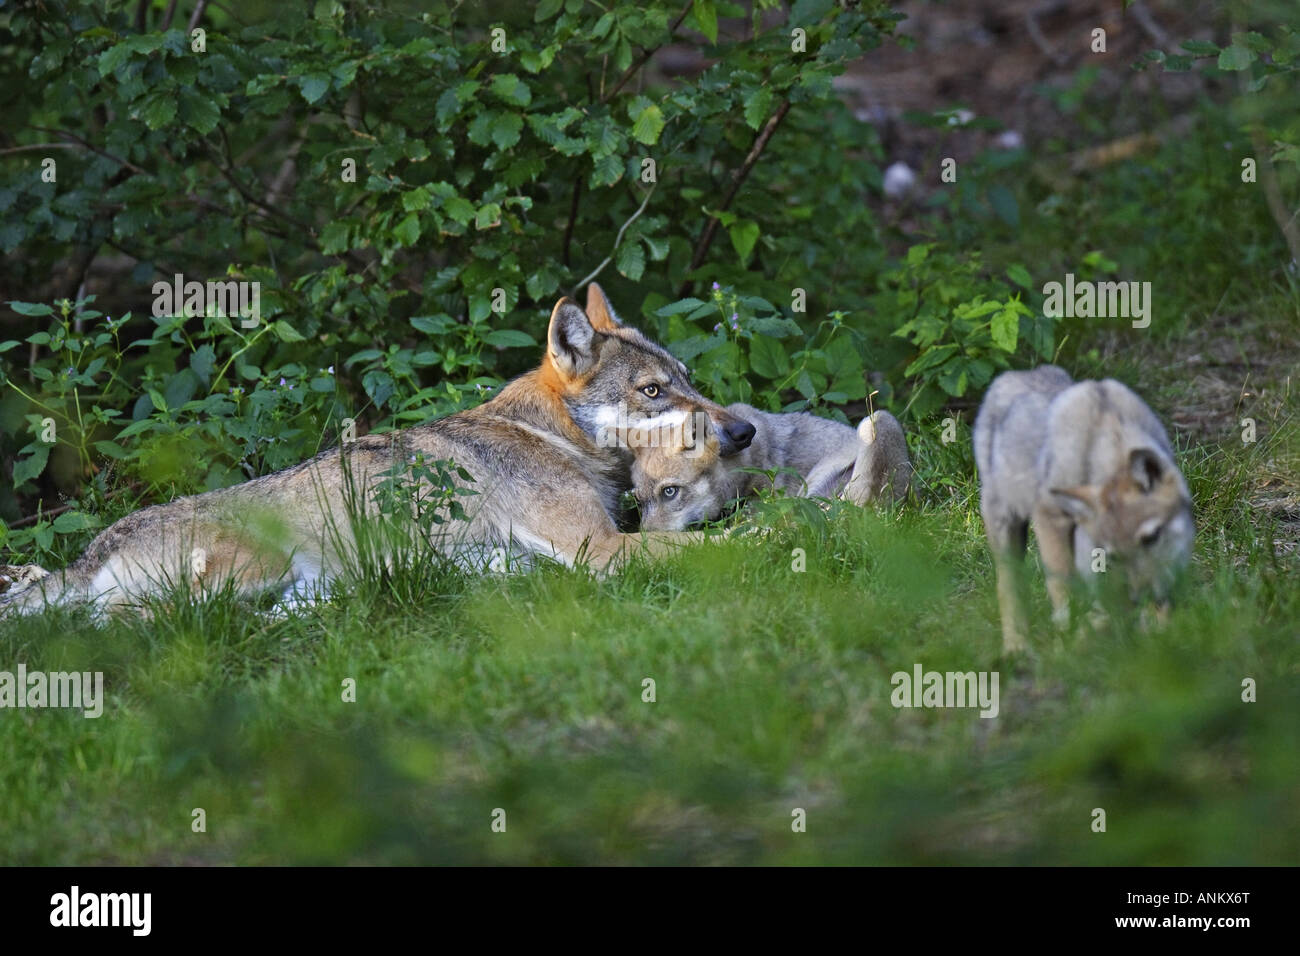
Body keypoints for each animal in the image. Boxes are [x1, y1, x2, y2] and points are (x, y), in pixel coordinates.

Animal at [0, 284, 756, 617]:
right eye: (653, 391)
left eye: (685, 378)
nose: (744, 432)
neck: (550, 437)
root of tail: (96, 546)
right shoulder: (600, 552)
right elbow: (709, 547)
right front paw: (770, 536)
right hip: (255, 572)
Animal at [972, 365, 1194, 653]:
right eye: (1115, 555)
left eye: (1152, 537)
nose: (1143, 598)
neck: (1111, 436)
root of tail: (1014, 374)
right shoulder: (1050, 517)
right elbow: (1063, 589)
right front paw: (1068, 638)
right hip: (1007, 528)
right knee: (1009, 587)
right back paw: (1017, 648)